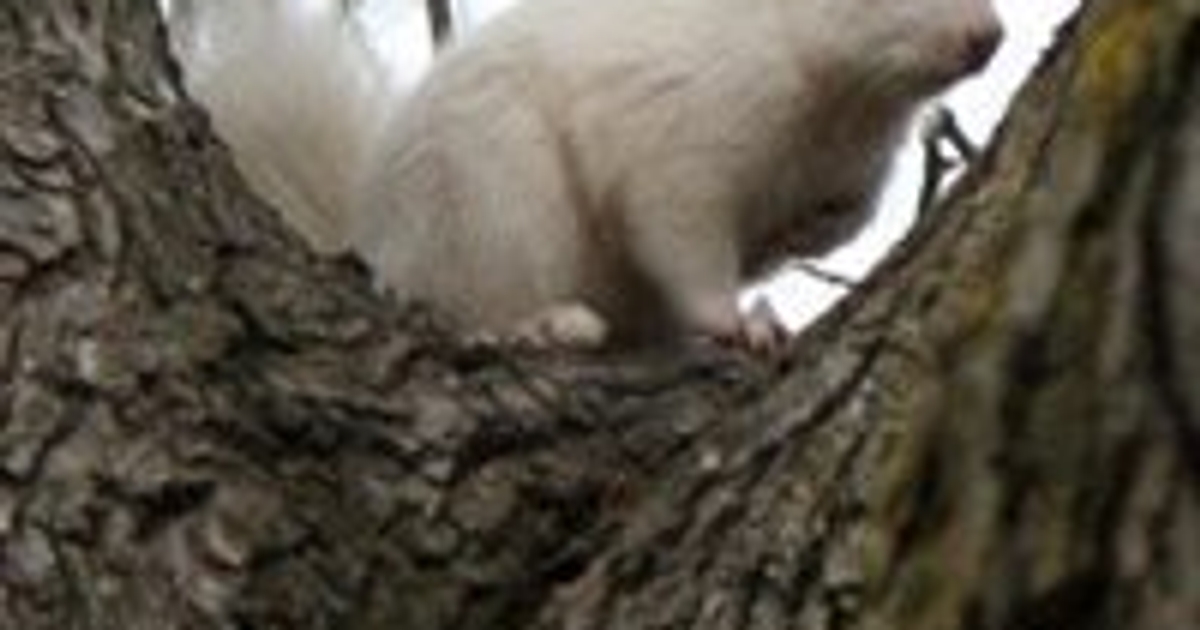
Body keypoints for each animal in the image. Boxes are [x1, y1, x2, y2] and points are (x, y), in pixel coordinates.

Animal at [171, 0, 1002, 349]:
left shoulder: (856, 166)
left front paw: (803, 236)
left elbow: (840, 220)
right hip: (492, 207)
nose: (989, 36)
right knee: (464, 306)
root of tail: (379, 244)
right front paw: (733, 321)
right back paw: (544, 325)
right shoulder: (680, 137)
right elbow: (679, 234)